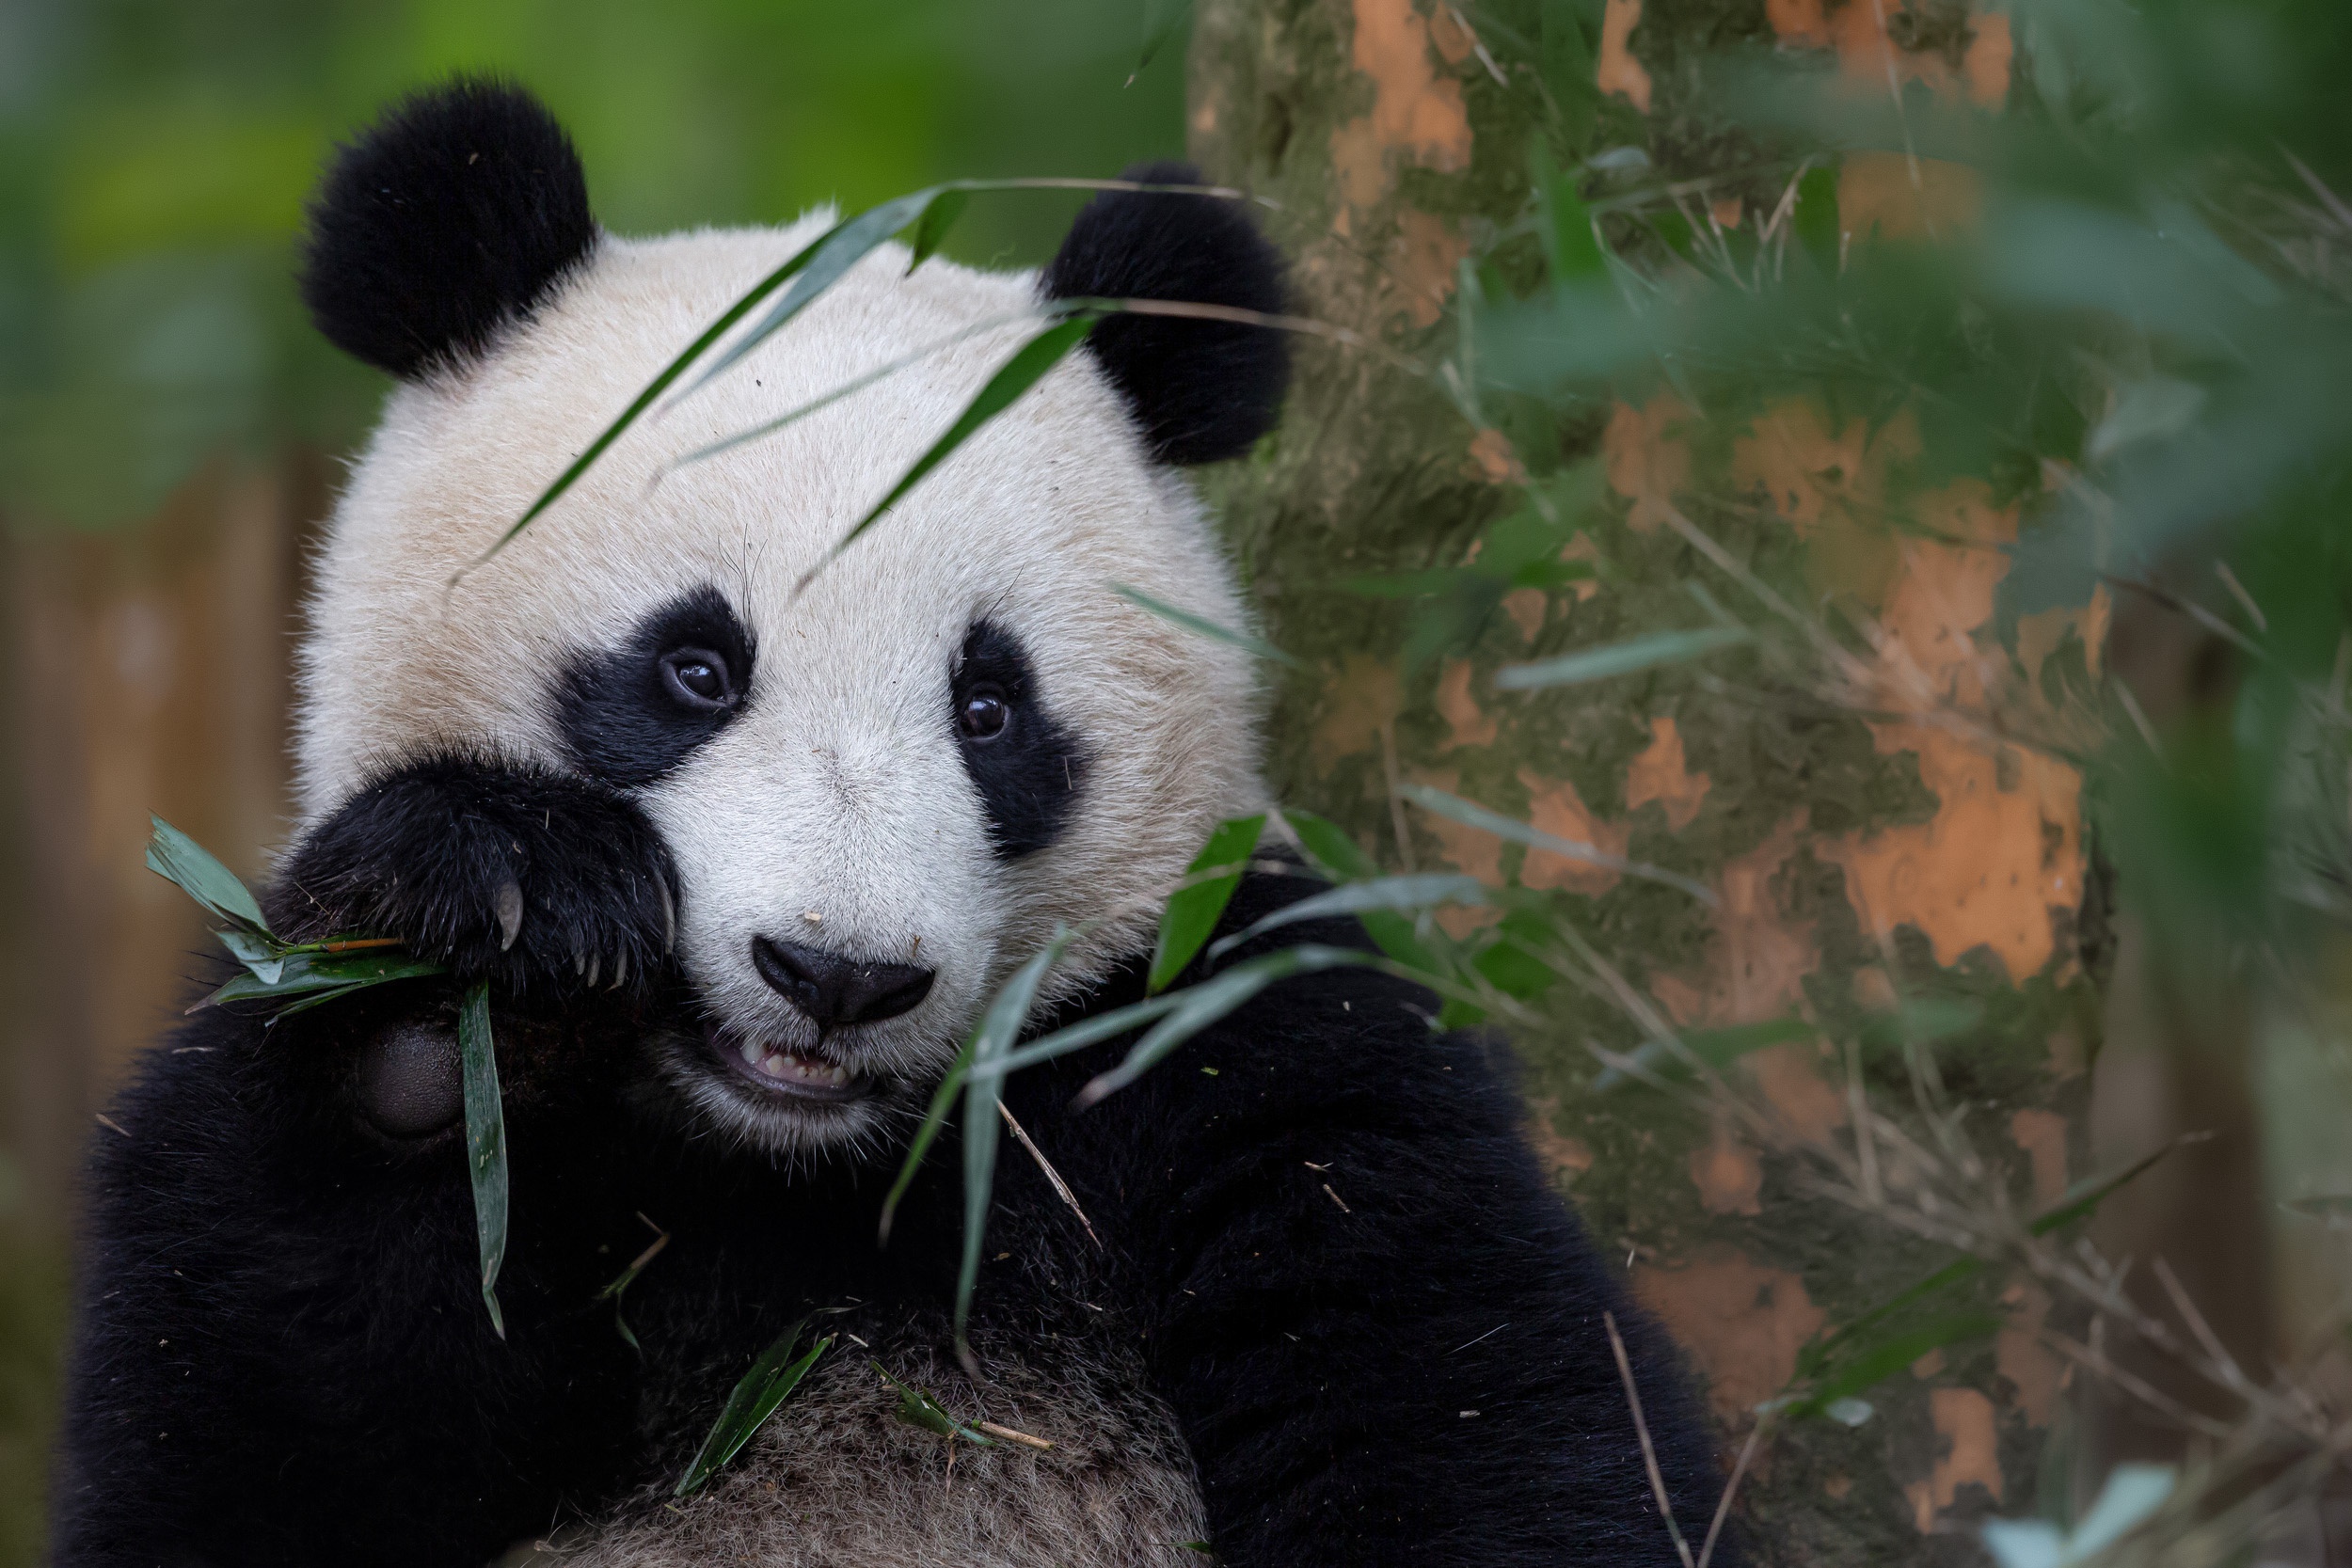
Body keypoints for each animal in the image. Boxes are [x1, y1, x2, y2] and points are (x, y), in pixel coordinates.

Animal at [51, 79, 1733, 1568]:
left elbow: (1481, 1414)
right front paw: (476, 964)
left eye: (989, 706)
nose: (838, 973)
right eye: (694, 666)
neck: (802, 1158)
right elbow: (252, 1446)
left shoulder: (1247, 1043)